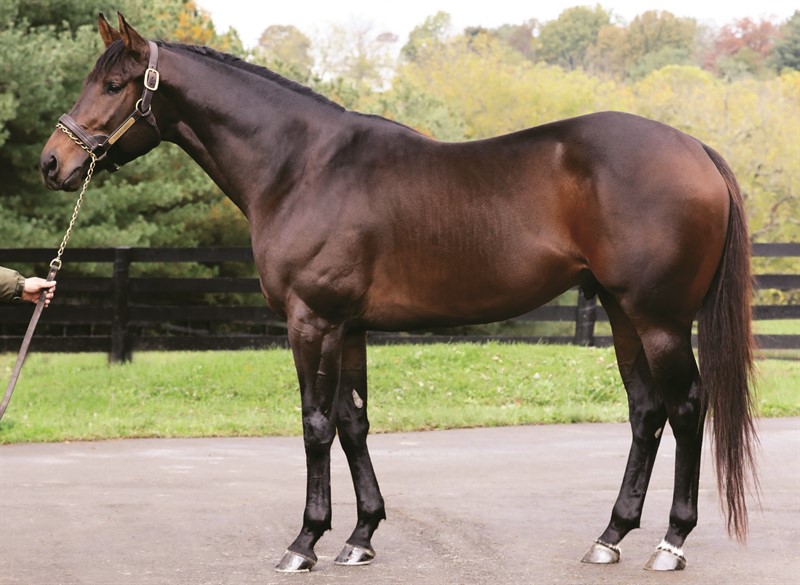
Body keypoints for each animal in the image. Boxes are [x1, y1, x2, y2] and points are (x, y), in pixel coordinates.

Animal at [40, 13, 758, 573]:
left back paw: (671, 542)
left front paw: (305, 540)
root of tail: (695, 147)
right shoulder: (349, 326)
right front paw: (360, 536)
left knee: (687, 407)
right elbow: (354, 422)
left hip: (659, 318)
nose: (54, 162)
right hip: (620, 311)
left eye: (113, 84)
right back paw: (610, 536)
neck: (301, 167)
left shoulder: (312, 322)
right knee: (646, 412)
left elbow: (316, 425)